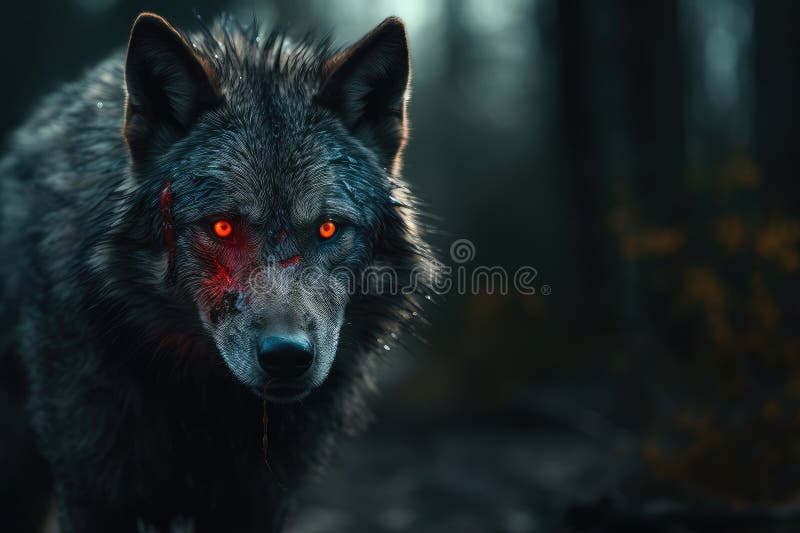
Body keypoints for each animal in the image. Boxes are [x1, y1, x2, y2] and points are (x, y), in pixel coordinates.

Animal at [0, 12, 433, 533]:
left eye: (328, 228)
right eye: (222, 226)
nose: (286, 357)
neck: (206, 403)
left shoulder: (260, 502)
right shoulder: (93, 492)